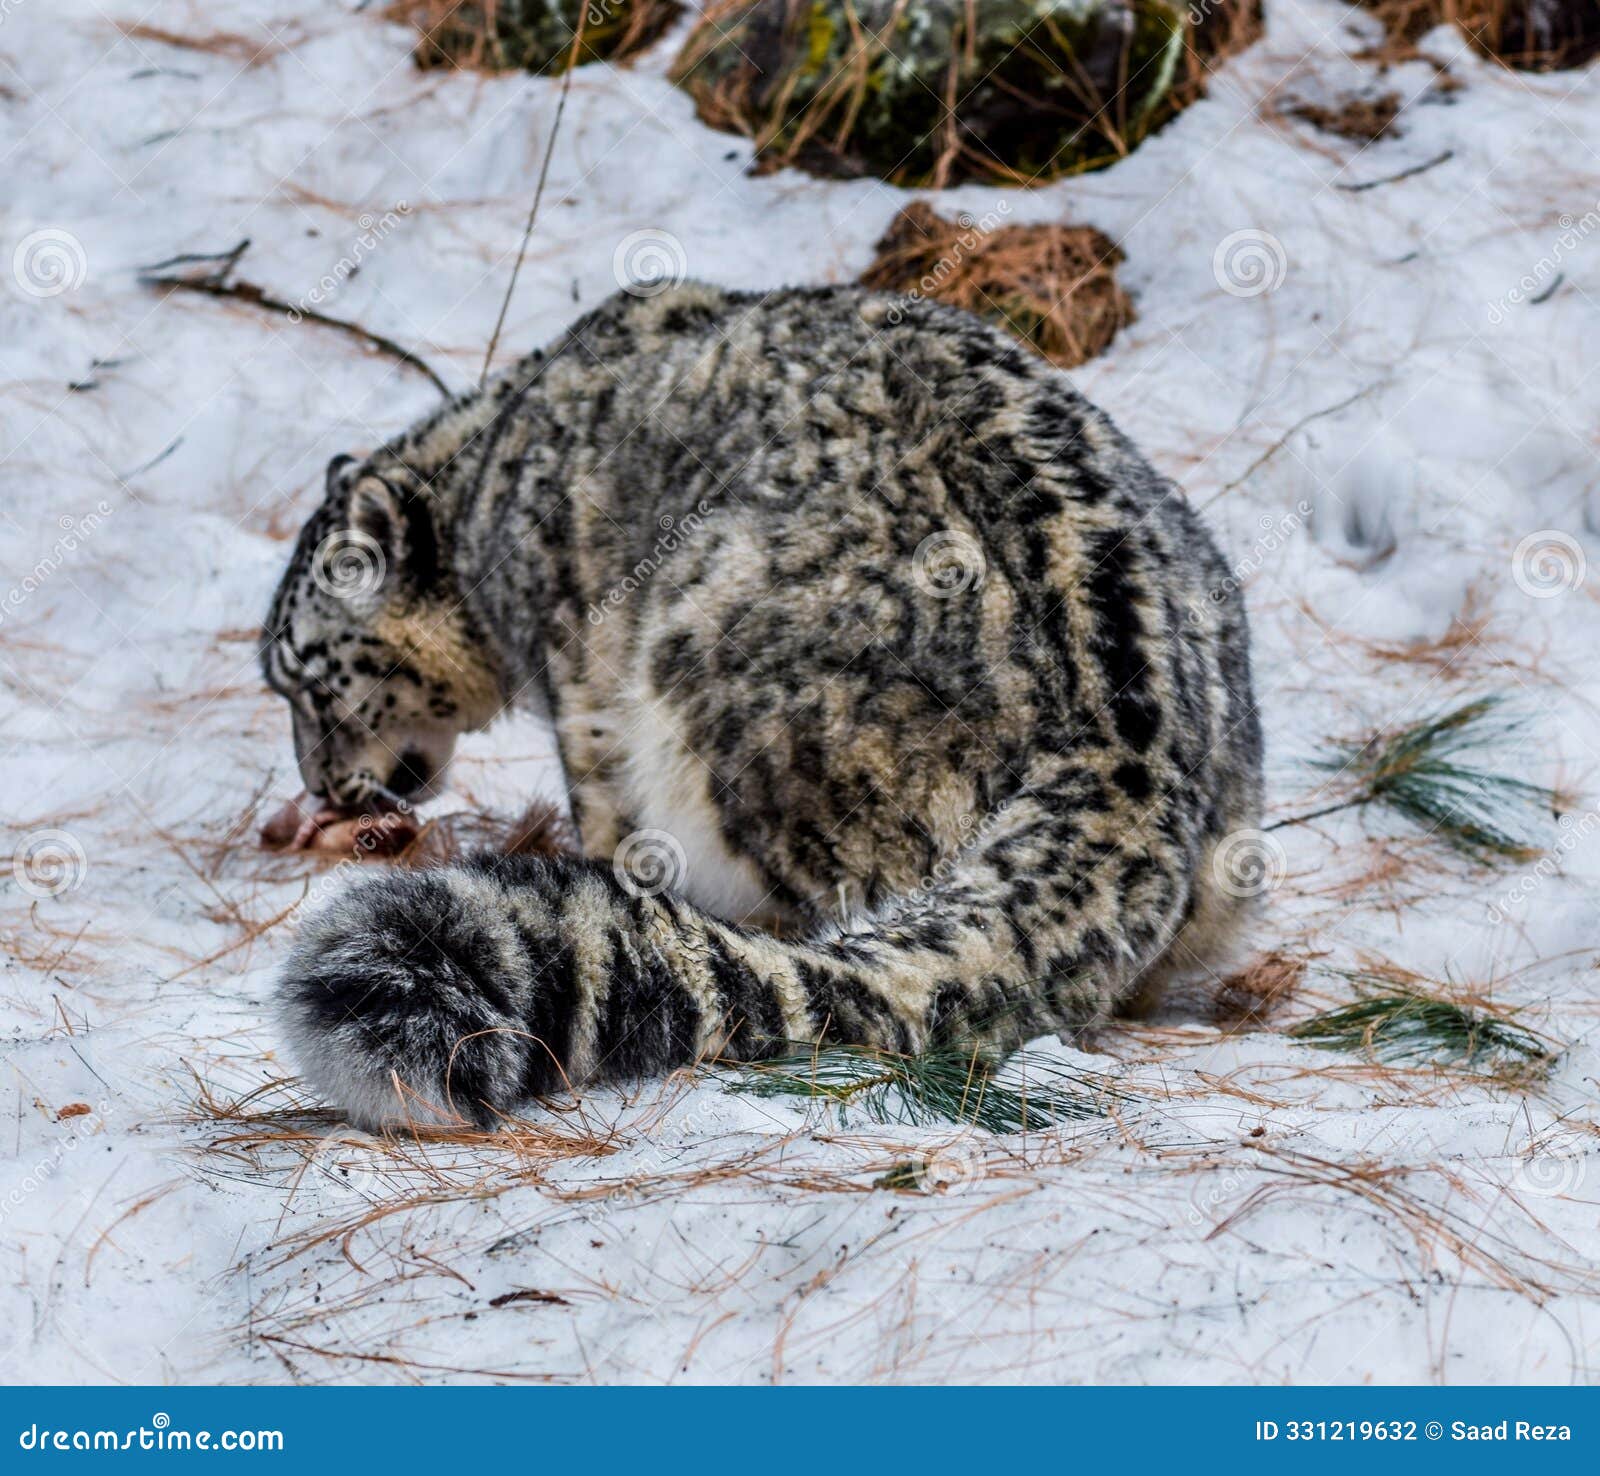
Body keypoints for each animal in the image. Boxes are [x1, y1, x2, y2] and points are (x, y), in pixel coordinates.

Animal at [261, 281, 1262, 1130]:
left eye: (306, 678)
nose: (324, 786)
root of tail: (1125, 747)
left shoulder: (577, 668)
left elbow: (604, 805)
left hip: (730, 689)